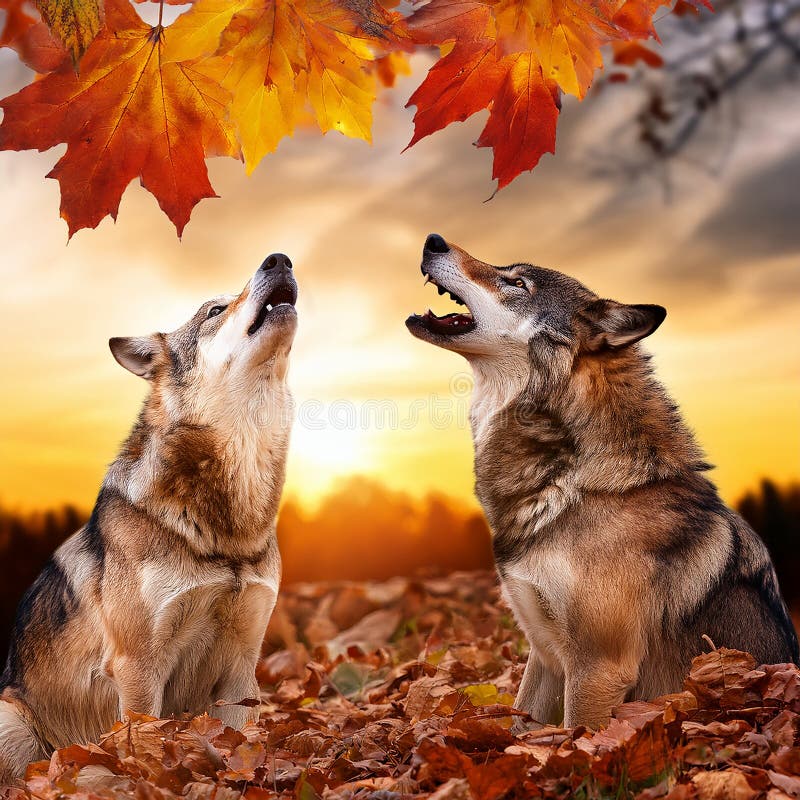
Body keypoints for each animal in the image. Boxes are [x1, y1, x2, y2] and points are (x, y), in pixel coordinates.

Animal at [0, 253, 298, 784]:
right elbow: (148, 743)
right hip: (12, 723)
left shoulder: (244, 664)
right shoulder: (137, 665)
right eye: (214, 309)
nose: (279, 259)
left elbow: (242, 742)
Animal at [407, 234, 798, 730]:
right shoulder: (545, 656)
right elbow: (521, 733)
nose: (433, 240)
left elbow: (575, 738)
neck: (573, 479)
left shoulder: (598, 668)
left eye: (517, 283)